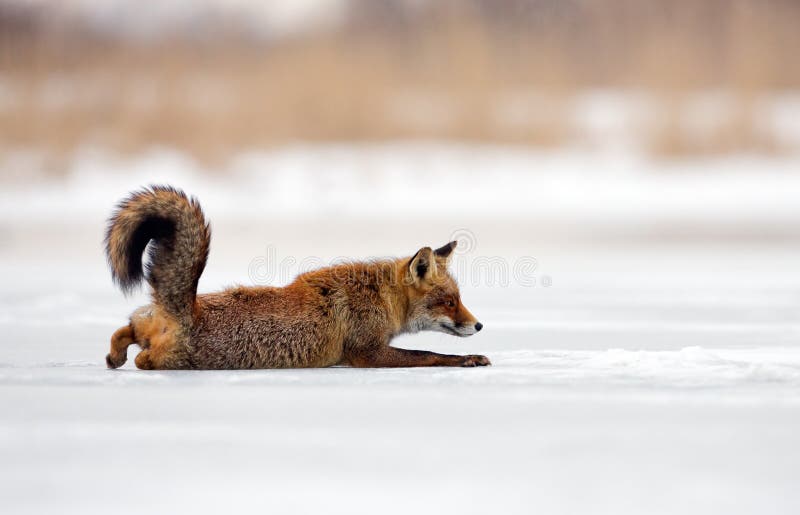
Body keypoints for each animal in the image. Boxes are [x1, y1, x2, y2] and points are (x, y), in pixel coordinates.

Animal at [104, 186, 490, 370]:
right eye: (449, 302)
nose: (479, 325)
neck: (380, 296)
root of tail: (188, 310)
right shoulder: (366, 352)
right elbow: (428, 353)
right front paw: (467, 359)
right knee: (142, 359)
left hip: (144, 321)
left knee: (127, 328)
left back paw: (113, 356)